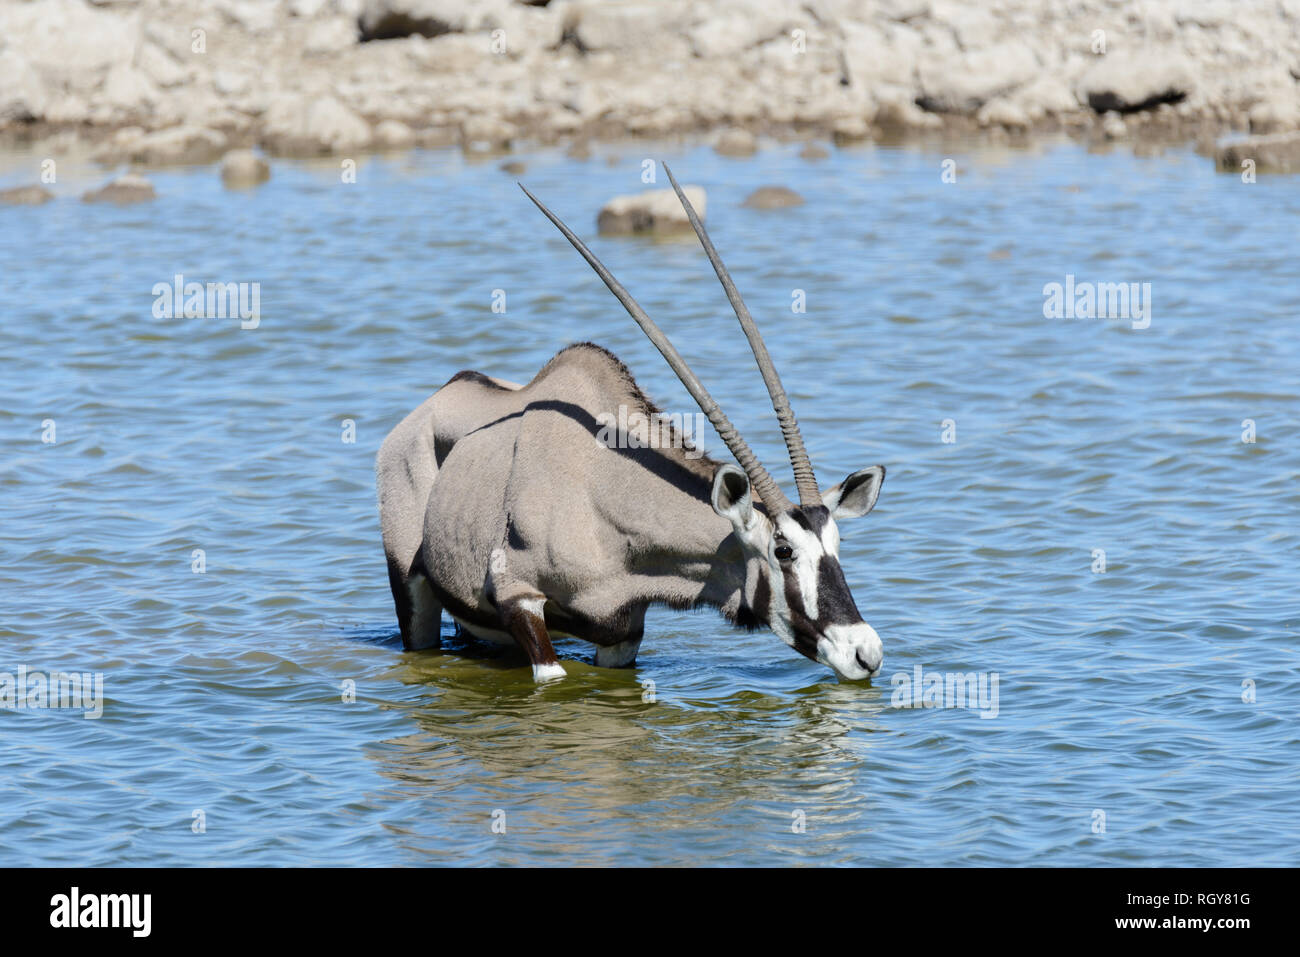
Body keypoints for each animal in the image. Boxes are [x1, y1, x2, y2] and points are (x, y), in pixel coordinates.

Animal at [376, 167, 888, 682]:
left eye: (837, 543)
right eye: (783, 551)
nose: (865, 652)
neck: (598, 490)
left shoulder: (621, 634)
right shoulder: (519, 601)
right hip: (413, 591)